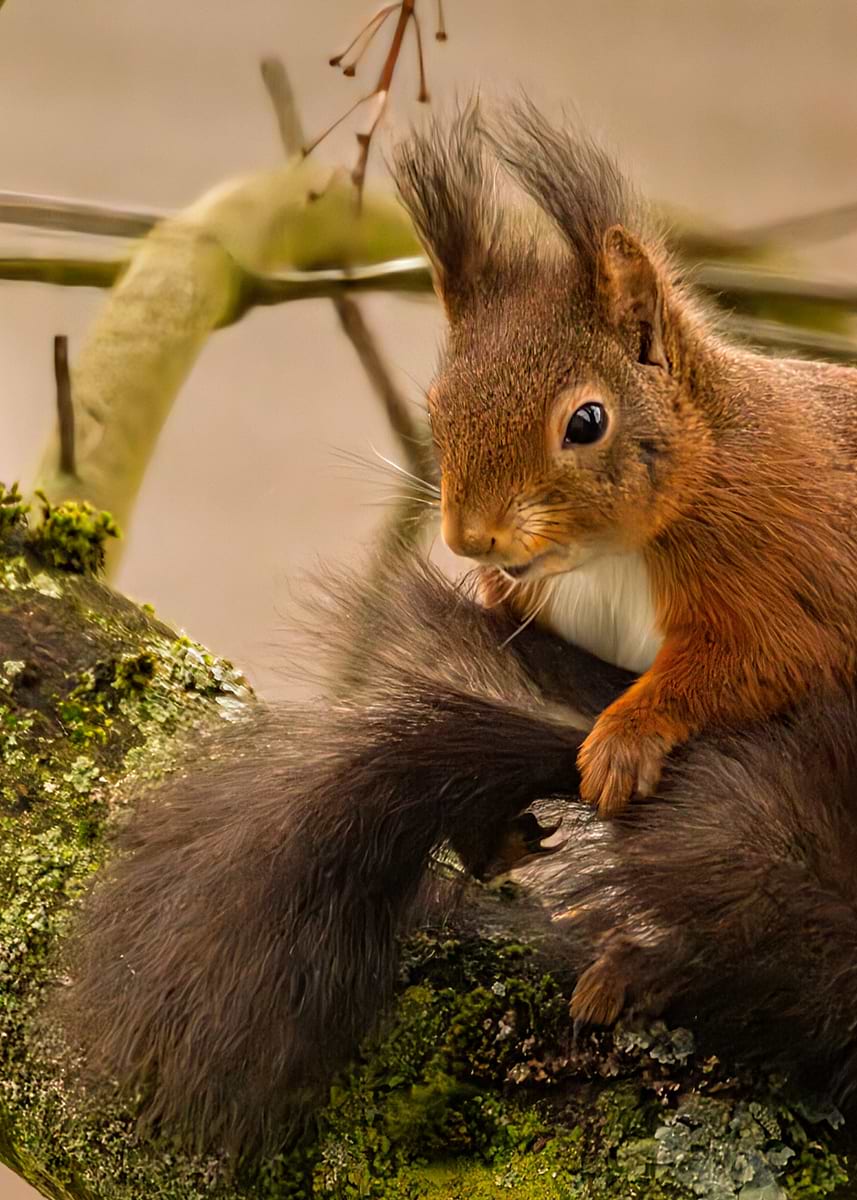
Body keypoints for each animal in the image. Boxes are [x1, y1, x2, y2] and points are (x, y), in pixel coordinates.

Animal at [394, 102, 857, 815]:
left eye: (587, 422)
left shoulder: (782, 567)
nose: (470, 539)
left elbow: (759, 657)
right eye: (437, 407)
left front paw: (622, 743)